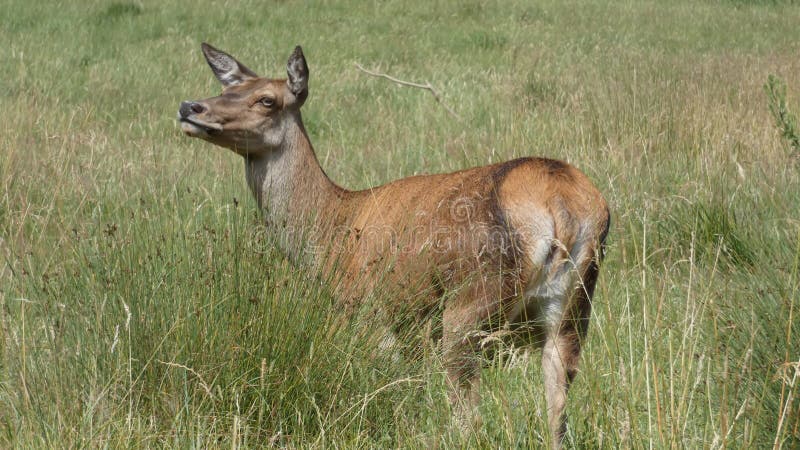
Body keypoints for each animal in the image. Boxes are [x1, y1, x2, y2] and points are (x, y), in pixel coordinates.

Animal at [178, 43, 610, 449]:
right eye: (227, 88)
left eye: (267, 99)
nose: (189, 107)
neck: (333, 234)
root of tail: (562, 205)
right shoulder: (410, 329)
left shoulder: (366, 311)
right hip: (573, 309)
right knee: (557, 414)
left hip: (469, 306)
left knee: (469, 416)